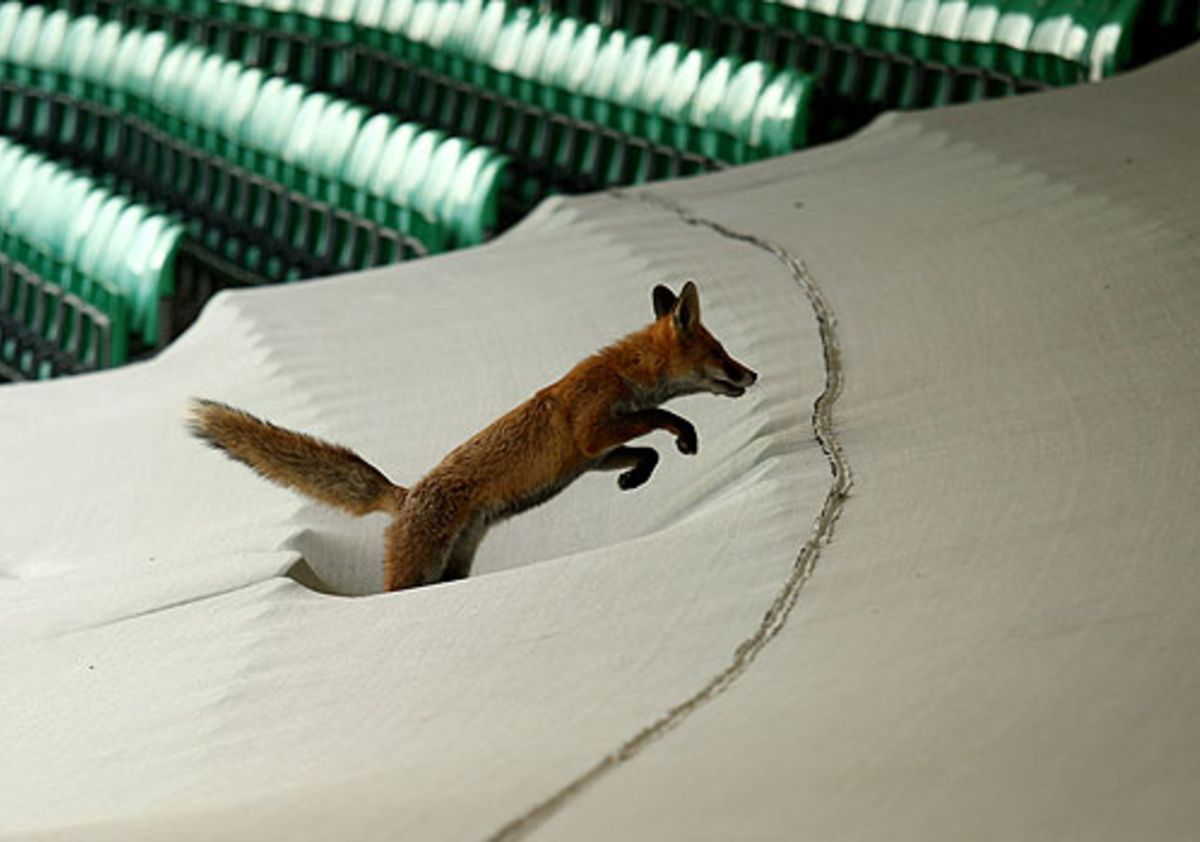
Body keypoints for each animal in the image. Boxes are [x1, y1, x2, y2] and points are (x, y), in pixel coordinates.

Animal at [189, 281, 757, 591]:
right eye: (721, 353)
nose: (752, 375)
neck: (622, 373)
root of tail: (404, 496)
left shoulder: (592, 455)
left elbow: (642, 450)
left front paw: (636, 477)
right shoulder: (591, 430)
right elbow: (662, 418)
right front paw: (684, 436)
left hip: (454, 566)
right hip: (419, 570)